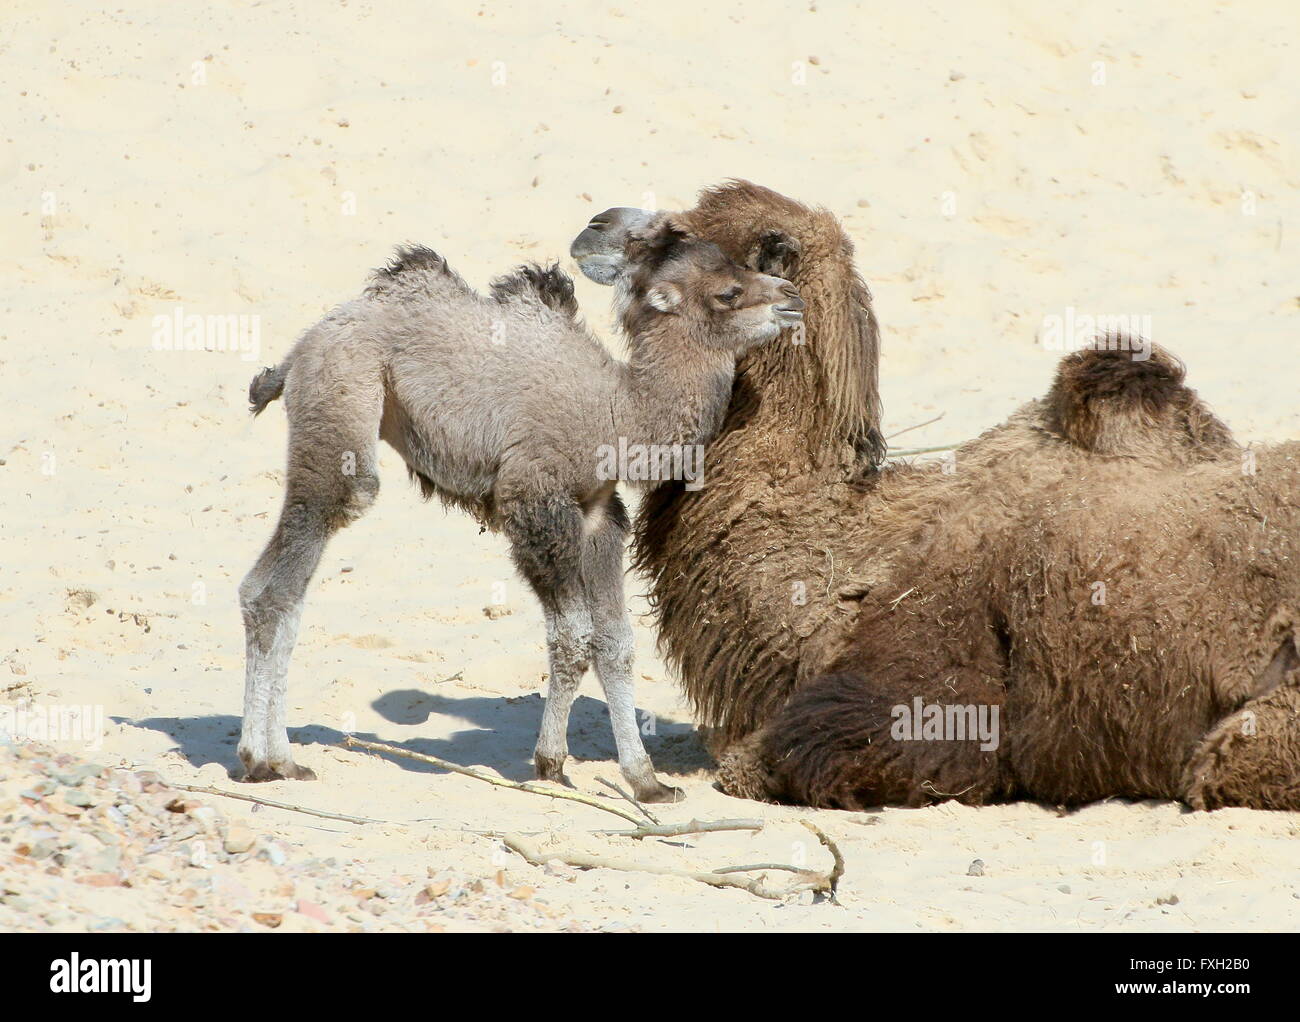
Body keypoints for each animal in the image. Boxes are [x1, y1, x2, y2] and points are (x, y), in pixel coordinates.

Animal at [236, 220, 804, 803]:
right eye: (727, 293)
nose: (792, 297)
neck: (618, 412)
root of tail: (299, 350)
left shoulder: (598, 514)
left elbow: (615, 643)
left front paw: (647, 783)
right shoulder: (535, 502)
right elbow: (574, 637)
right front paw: (550, 764)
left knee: (276, 589)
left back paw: (267, 757)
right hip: (343, 399)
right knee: (285, 575)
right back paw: (272, 761)